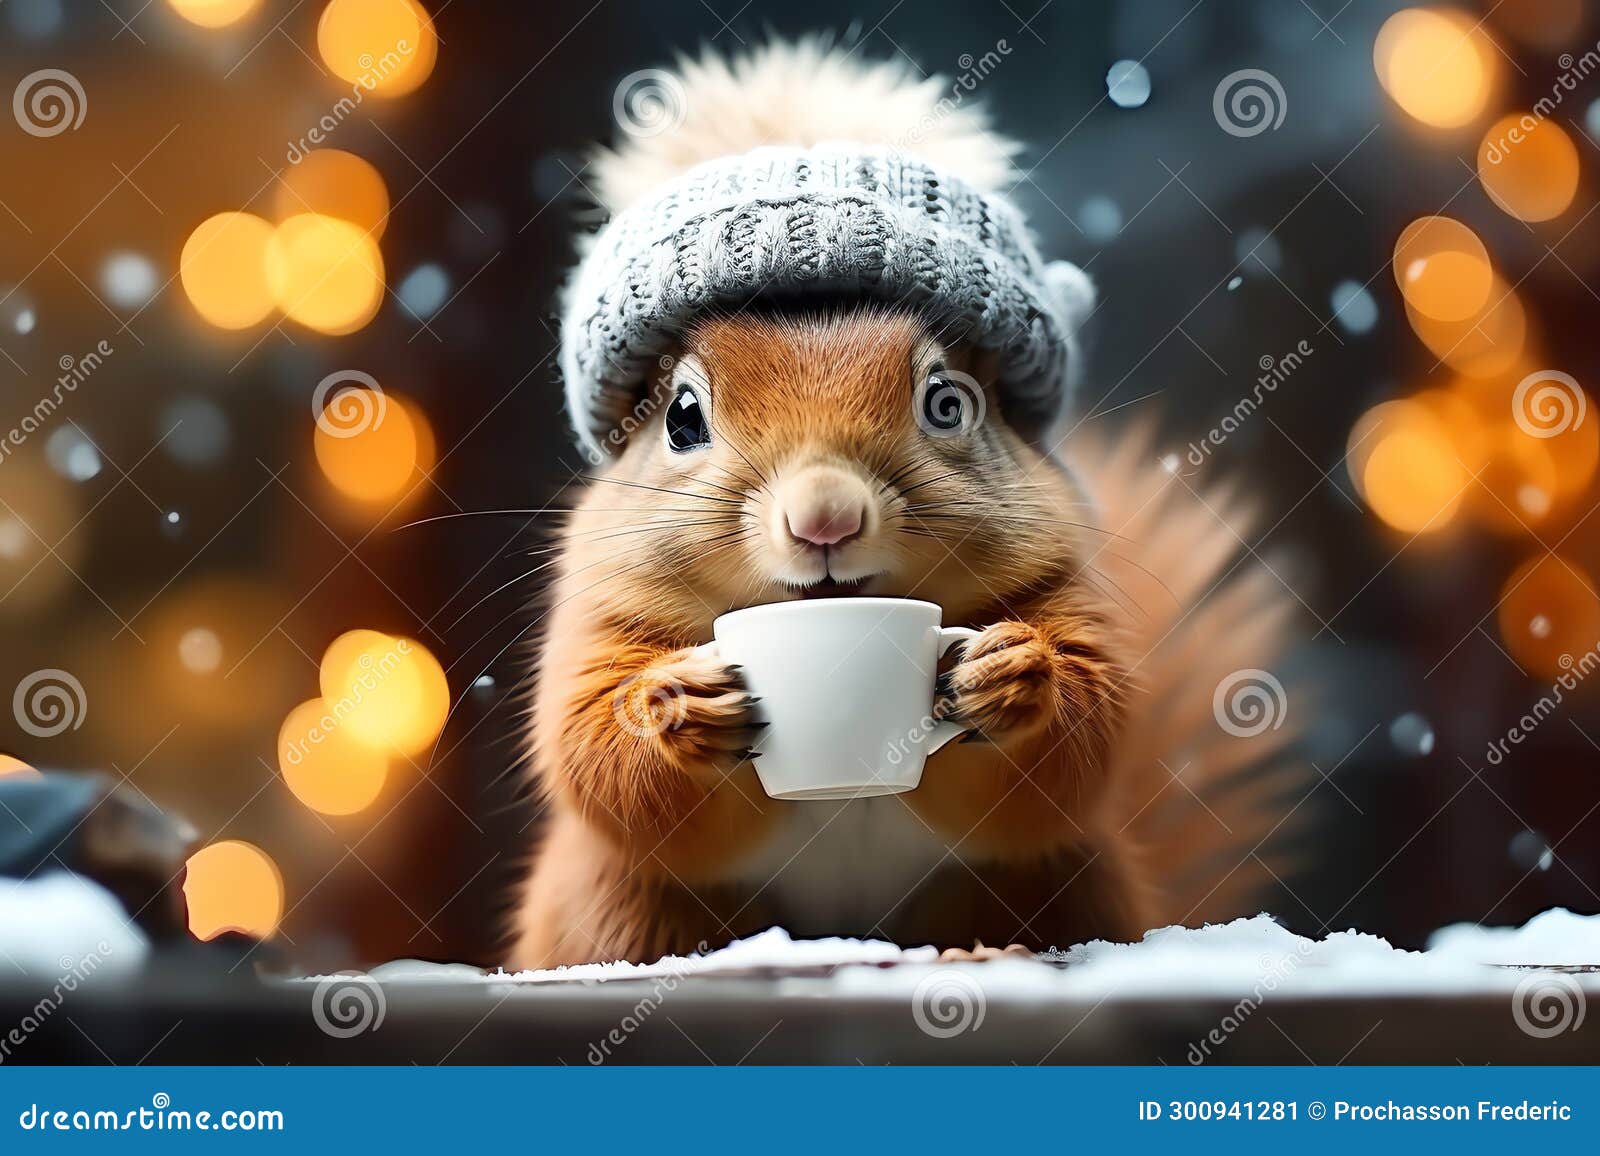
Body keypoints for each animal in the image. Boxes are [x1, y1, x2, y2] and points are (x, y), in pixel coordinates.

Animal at [506, 40, 1307, 969]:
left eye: (950, 403)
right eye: (680, 417)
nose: (824, 517)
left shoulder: (1064, 591)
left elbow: (1082, 743)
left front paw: (1015, 678)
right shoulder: (599, 620)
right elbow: (594, 755)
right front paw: (676, 705)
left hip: (1041, 882)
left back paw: (983, 955)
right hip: (622, 903)